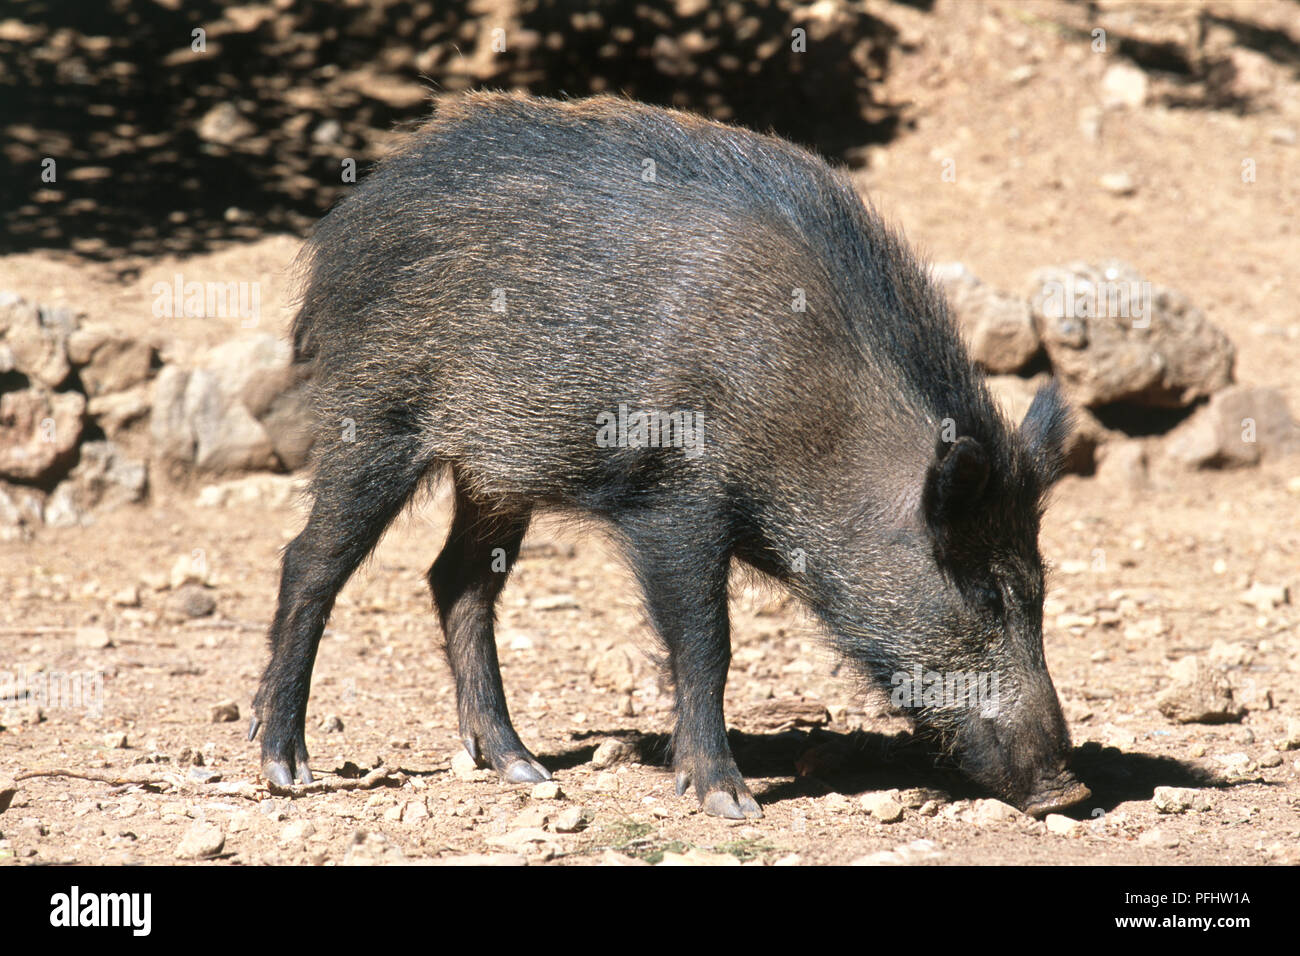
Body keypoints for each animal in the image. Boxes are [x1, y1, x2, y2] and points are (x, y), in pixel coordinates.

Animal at [249, 92, 1091, 820]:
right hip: (375, 415)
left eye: (1041, 589)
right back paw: (286, 768)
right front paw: (729, 801)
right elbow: (707, 644)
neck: (808, 424)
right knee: (309, 562)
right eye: (983, 592)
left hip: (497, 470)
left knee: (456, 581)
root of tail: (347, 221)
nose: (1070, 791)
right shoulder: (674, 500)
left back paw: (523, 768)